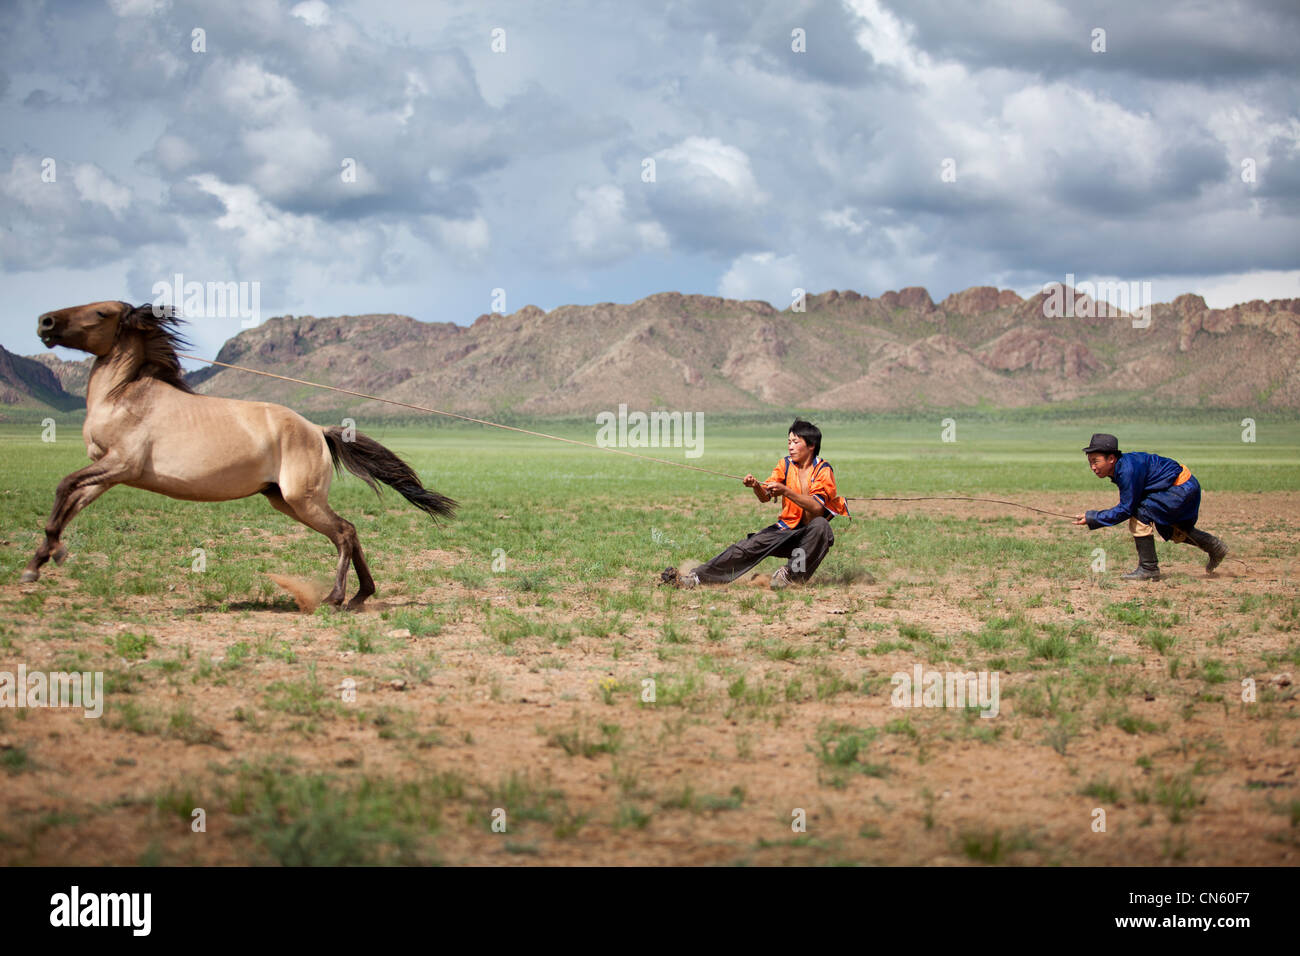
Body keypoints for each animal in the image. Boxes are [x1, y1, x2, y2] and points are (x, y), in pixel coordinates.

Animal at [23, 300, 456, 608]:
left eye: (101, 312)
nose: (45, 322)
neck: (124, 398)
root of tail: (317, 430)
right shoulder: (108, 471)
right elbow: (72, 501)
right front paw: (42, 559)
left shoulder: (121, 464)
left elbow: (63, 487)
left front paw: (43, 561)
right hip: (285, 501)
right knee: (346, 532)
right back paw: (359, 596)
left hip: (303, 499)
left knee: (345, 532)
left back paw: (336, 598)